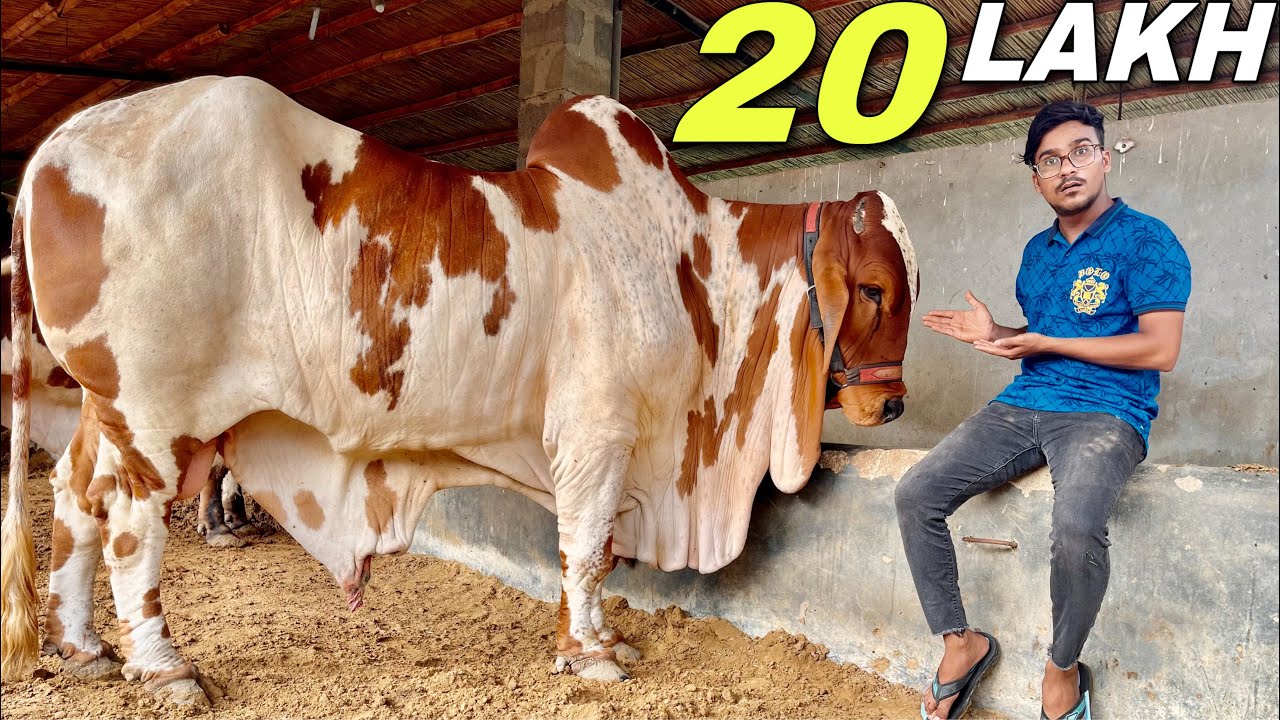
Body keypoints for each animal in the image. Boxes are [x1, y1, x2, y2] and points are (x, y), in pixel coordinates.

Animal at [1, 76, 917, 705]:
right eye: (873, 288)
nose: (892, 405)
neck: (694, 264)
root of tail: (54, 149)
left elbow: (596, 556)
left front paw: (601, 641)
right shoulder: (597, 433)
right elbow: (585, 548)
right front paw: (587, 654)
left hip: (105, 411)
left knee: (74, 500)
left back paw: (84, 647)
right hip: (153, 418)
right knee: (131, 531)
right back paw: (164, 669)